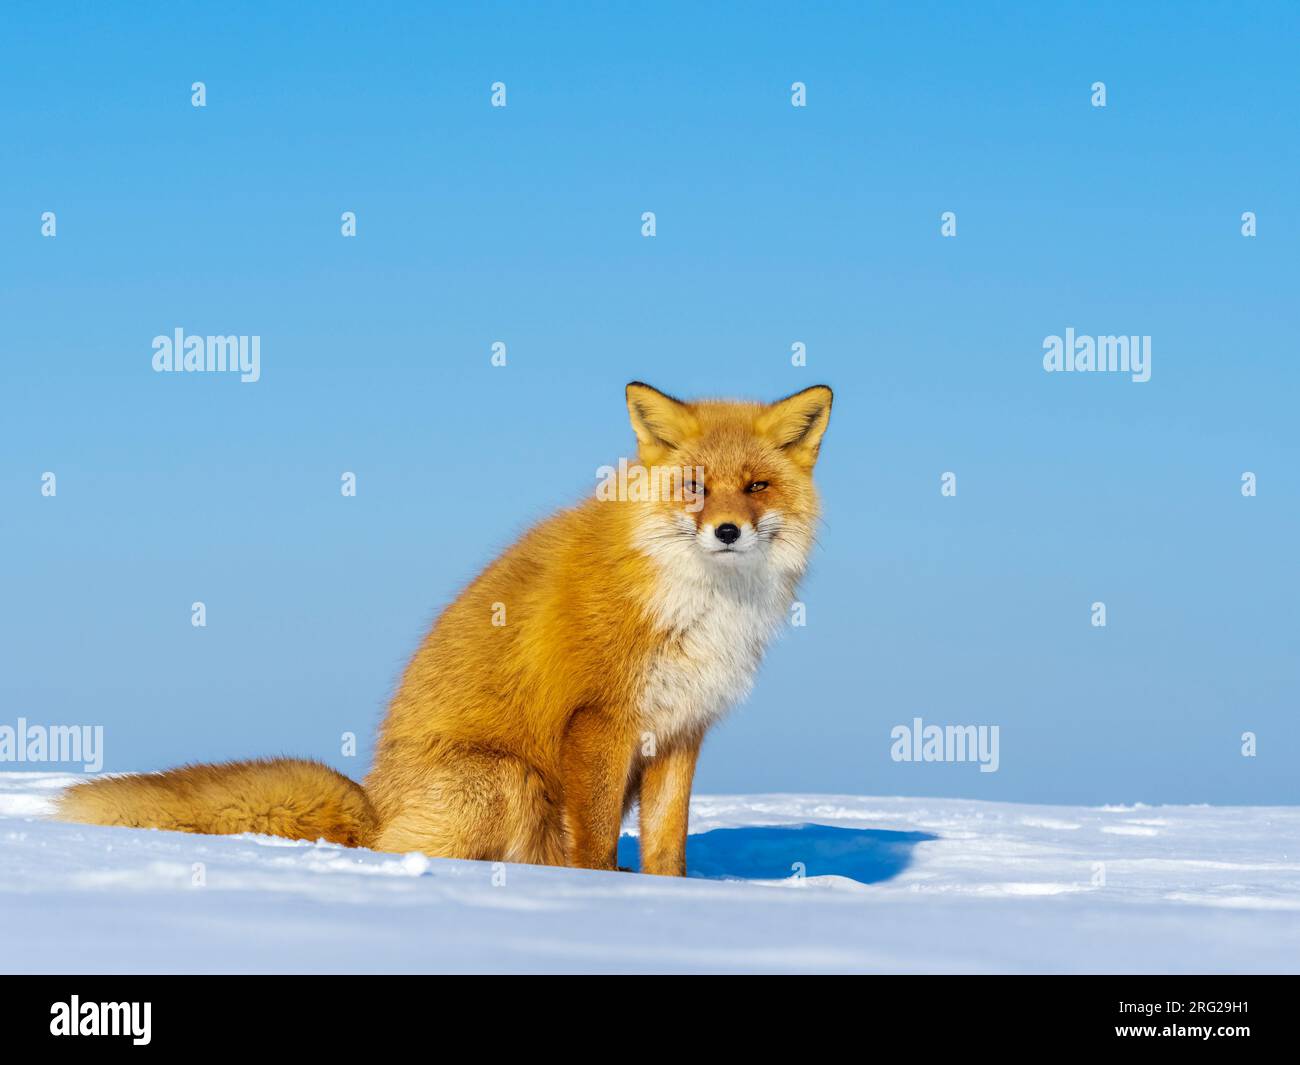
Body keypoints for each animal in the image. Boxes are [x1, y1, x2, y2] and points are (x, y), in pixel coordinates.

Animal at [55, 381, 832, 875]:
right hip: (509, 781)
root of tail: (373, 803)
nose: (727, 531)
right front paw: (596, 896)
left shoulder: (677, 731)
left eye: (756, 487)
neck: (700, 604)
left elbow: (668, 852)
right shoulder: (598, 721)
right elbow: (596, 847)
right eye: (695, 486)